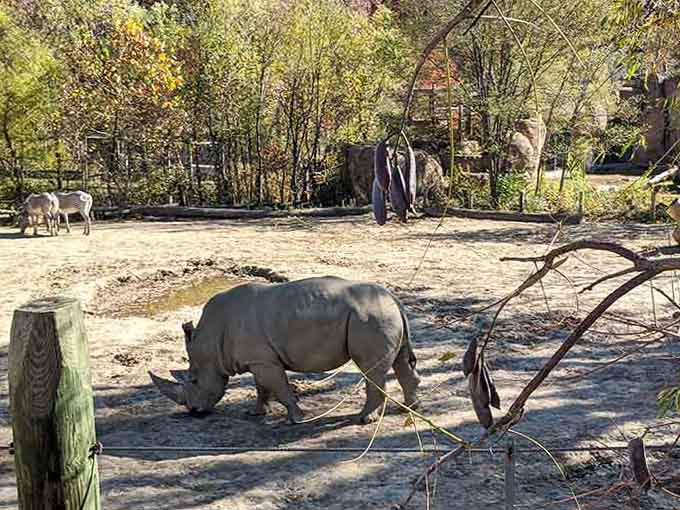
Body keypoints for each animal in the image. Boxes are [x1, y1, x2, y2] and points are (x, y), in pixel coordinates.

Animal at [149, 276, 421, 424]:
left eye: (194, 381)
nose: (193, 412)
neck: (211, 342)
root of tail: (392, 298)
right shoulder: (258, 359)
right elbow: (262, 388)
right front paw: (256, 413)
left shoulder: (263, 361)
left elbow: (279, 388)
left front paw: (296, 419)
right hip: (381, 313)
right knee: (399, 361)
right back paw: (410, 408)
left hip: (369, 316)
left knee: (371, 370)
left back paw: (365, 420)